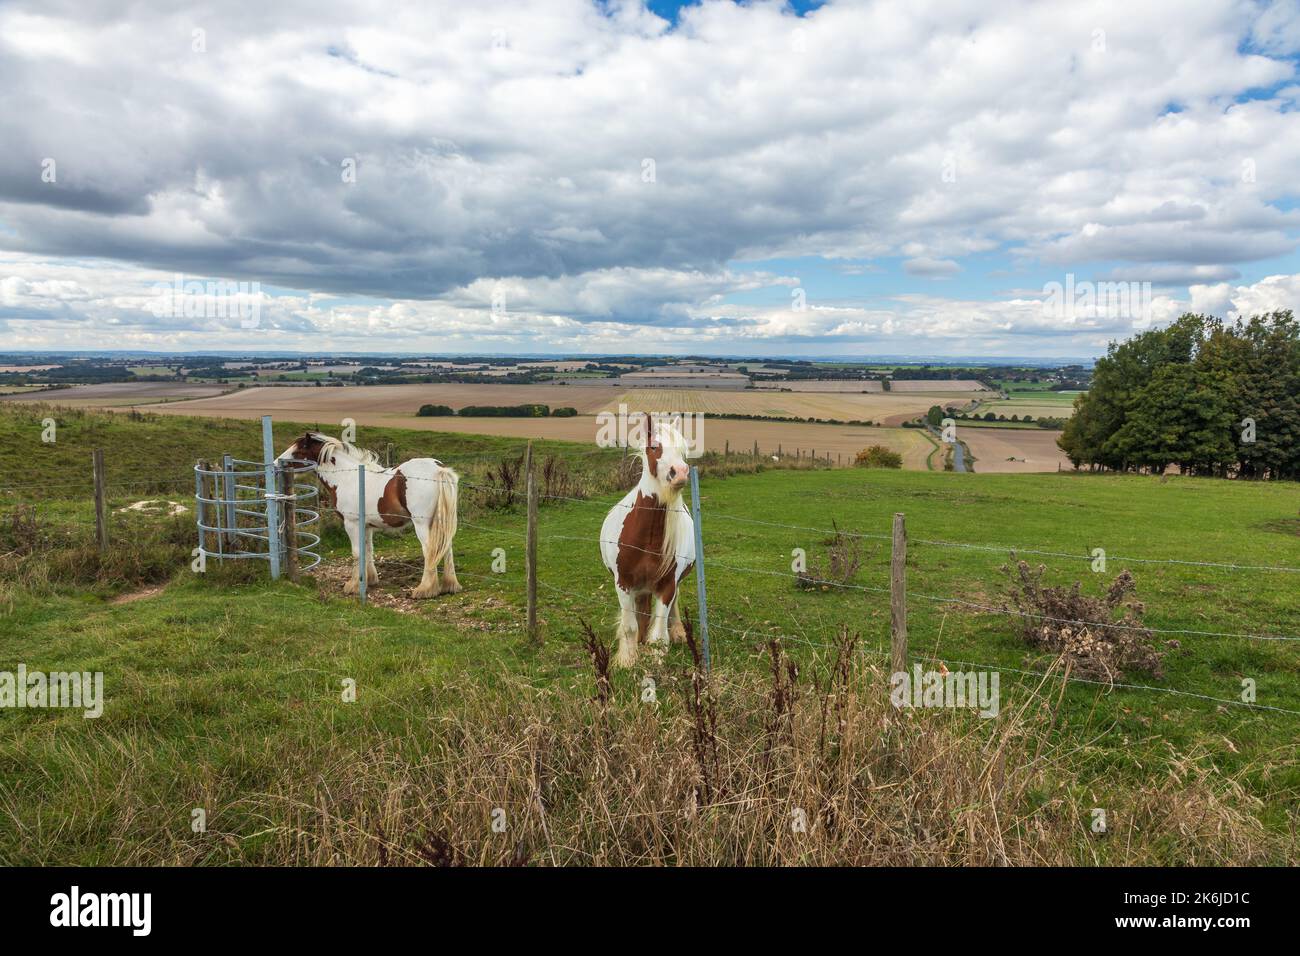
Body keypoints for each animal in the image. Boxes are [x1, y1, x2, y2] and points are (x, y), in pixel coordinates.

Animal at [277, 432, 461, 598]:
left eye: (298, 450)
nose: (276, 464)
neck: (347, 477)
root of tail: (439, 469)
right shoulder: (366, 526)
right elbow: (368, 550)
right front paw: (369, 580)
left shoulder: (351, 523)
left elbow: (357, 553)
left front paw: (353, 586)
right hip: (442, 522)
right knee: (446, 548)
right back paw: (450, 585)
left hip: (422, 524)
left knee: (430, 550)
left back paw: (425, 589)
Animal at [599, 414, 696, 668]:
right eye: (654, 447)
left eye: (682, 450)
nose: (679, 472)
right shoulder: (623, 583)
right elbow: (630, 626)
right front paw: (627, 659)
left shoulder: (668, 584)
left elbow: (660, 632)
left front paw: (656, 658)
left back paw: (677, 631)